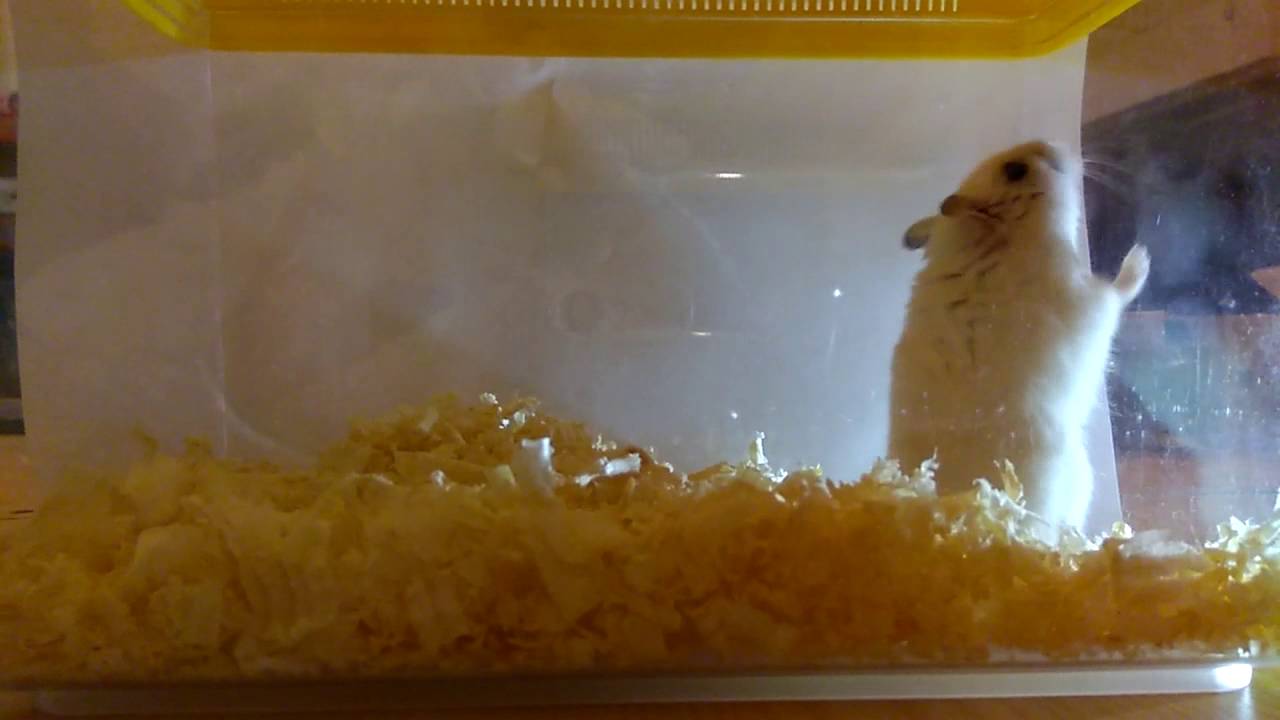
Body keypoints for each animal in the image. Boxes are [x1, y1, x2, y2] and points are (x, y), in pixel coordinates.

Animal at [888, 140, 1149, 529]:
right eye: (1015, 171)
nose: (1056, 145)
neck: (1002, 241)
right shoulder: (1085, 297)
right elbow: (1118, 292)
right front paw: (1141, 255)